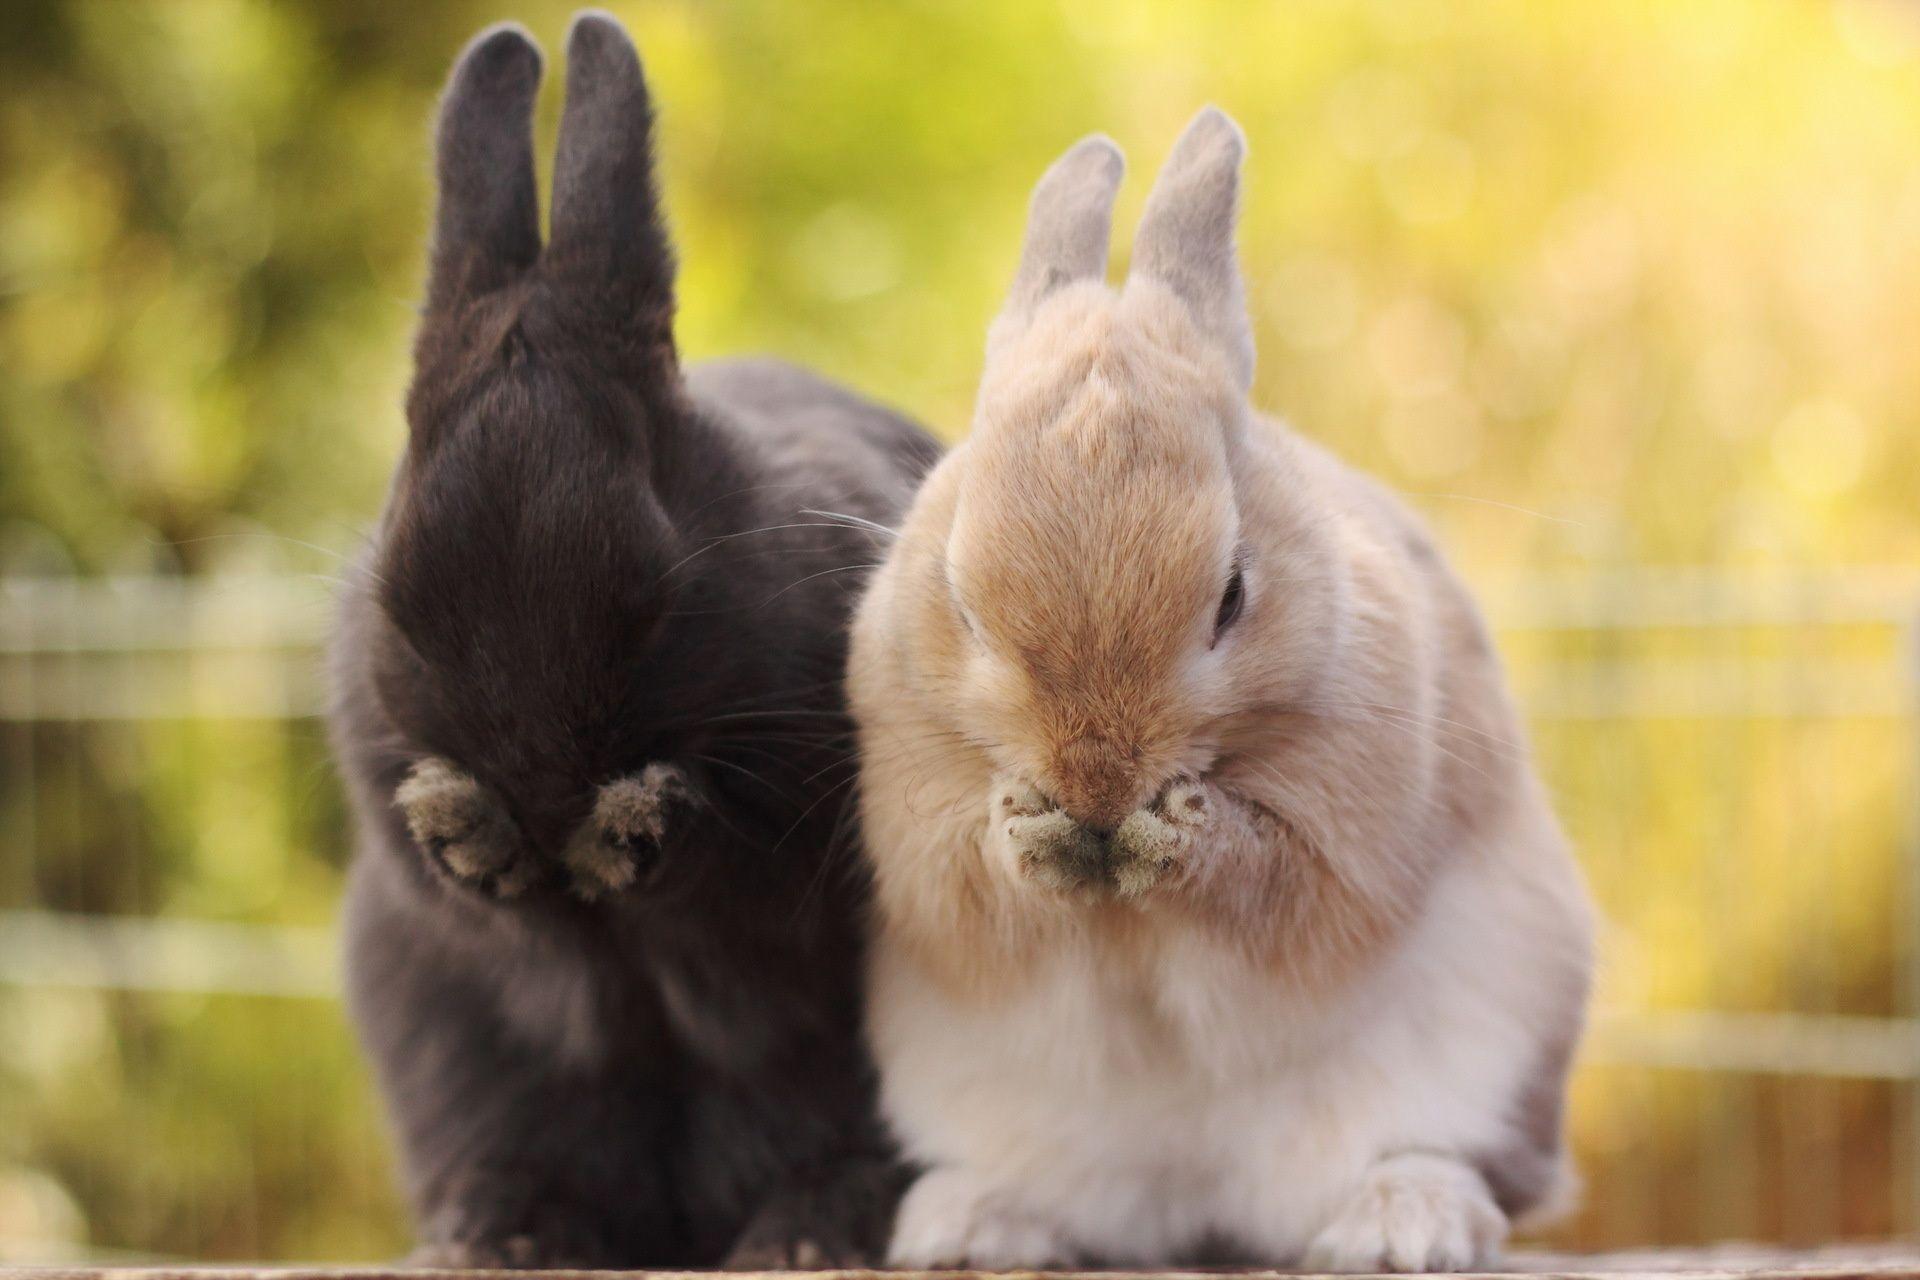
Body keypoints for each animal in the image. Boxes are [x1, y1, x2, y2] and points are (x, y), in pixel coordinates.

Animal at [329, 12, 938, 1269]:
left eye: (653, 594)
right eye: (403, 607)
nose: (542, 785)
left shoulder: (805, 837)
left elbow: (734, 874)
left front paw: (628, 827)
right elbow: (464, 887)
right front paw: (466, 826)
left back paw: (810, 1232)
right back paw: (497, 1231)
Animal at [846, 107, 1594, 1272]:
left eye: (1234, 594)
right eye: (962, 603)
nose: (1095, 781)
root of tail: (1192, 1206)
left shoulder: (1346, 836)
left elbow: (1274, 880)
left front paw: (1175, 833)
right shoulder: (915, 829)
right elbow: (972, 887)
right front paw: (1031, 831)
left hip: (1495, 1045)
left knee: (1455, 1163)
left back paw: (1403, 1224)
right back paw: (968, 1228)